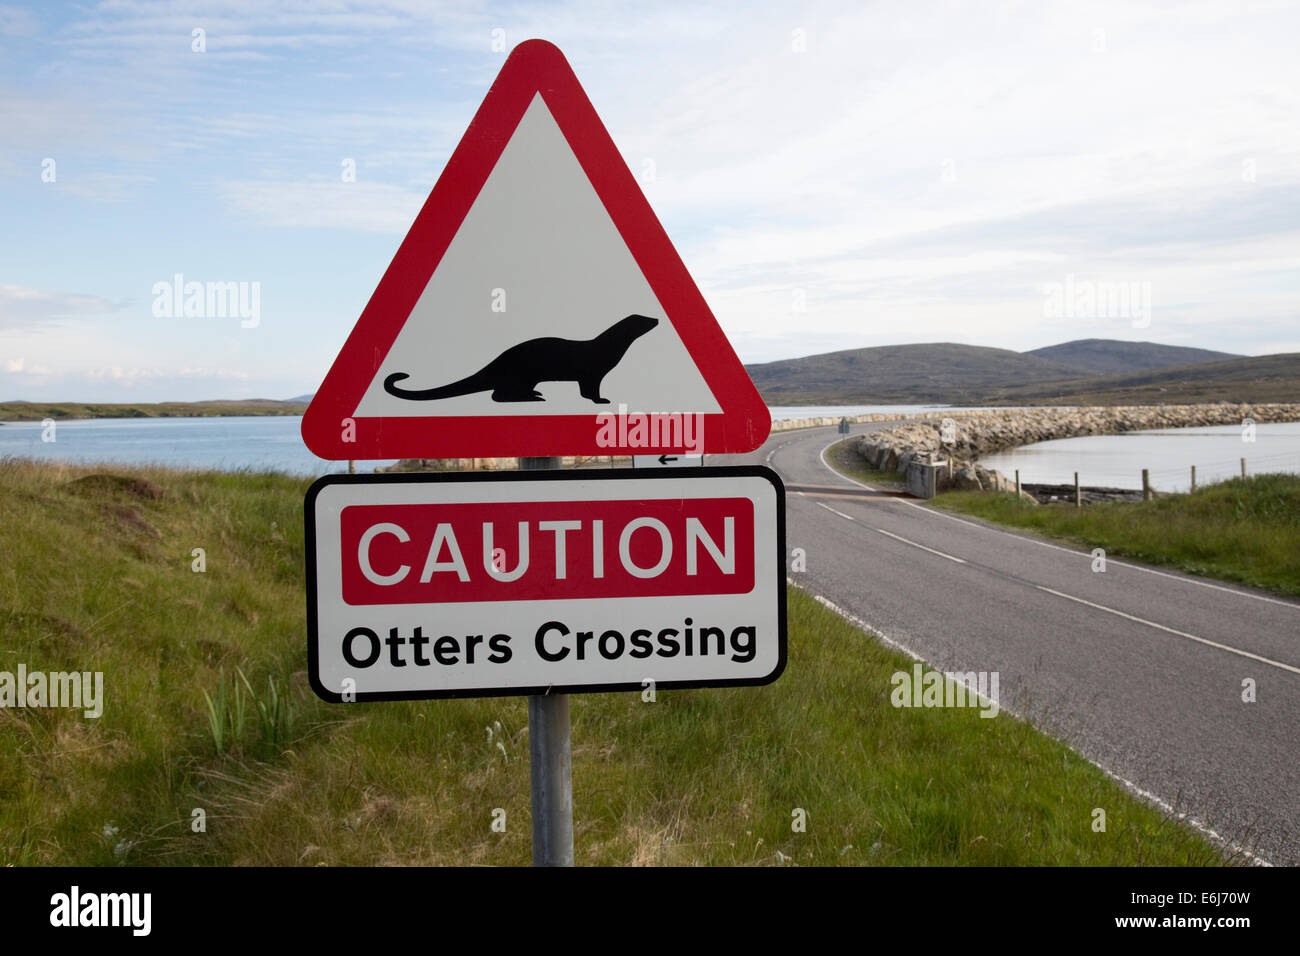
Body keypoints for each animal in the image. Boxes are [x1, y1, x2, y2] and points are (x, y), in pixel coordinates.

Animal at [383, 314, 659, 404]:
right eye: (643, 320)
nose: (656, 319)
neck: (606, 346)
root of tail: (495, 362)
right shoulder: (591, 373)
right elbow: (589, 391)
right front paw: (601, 400)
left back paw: (534, 395)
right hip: (520, 375)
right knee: (498, 395)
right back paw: (532, 398)